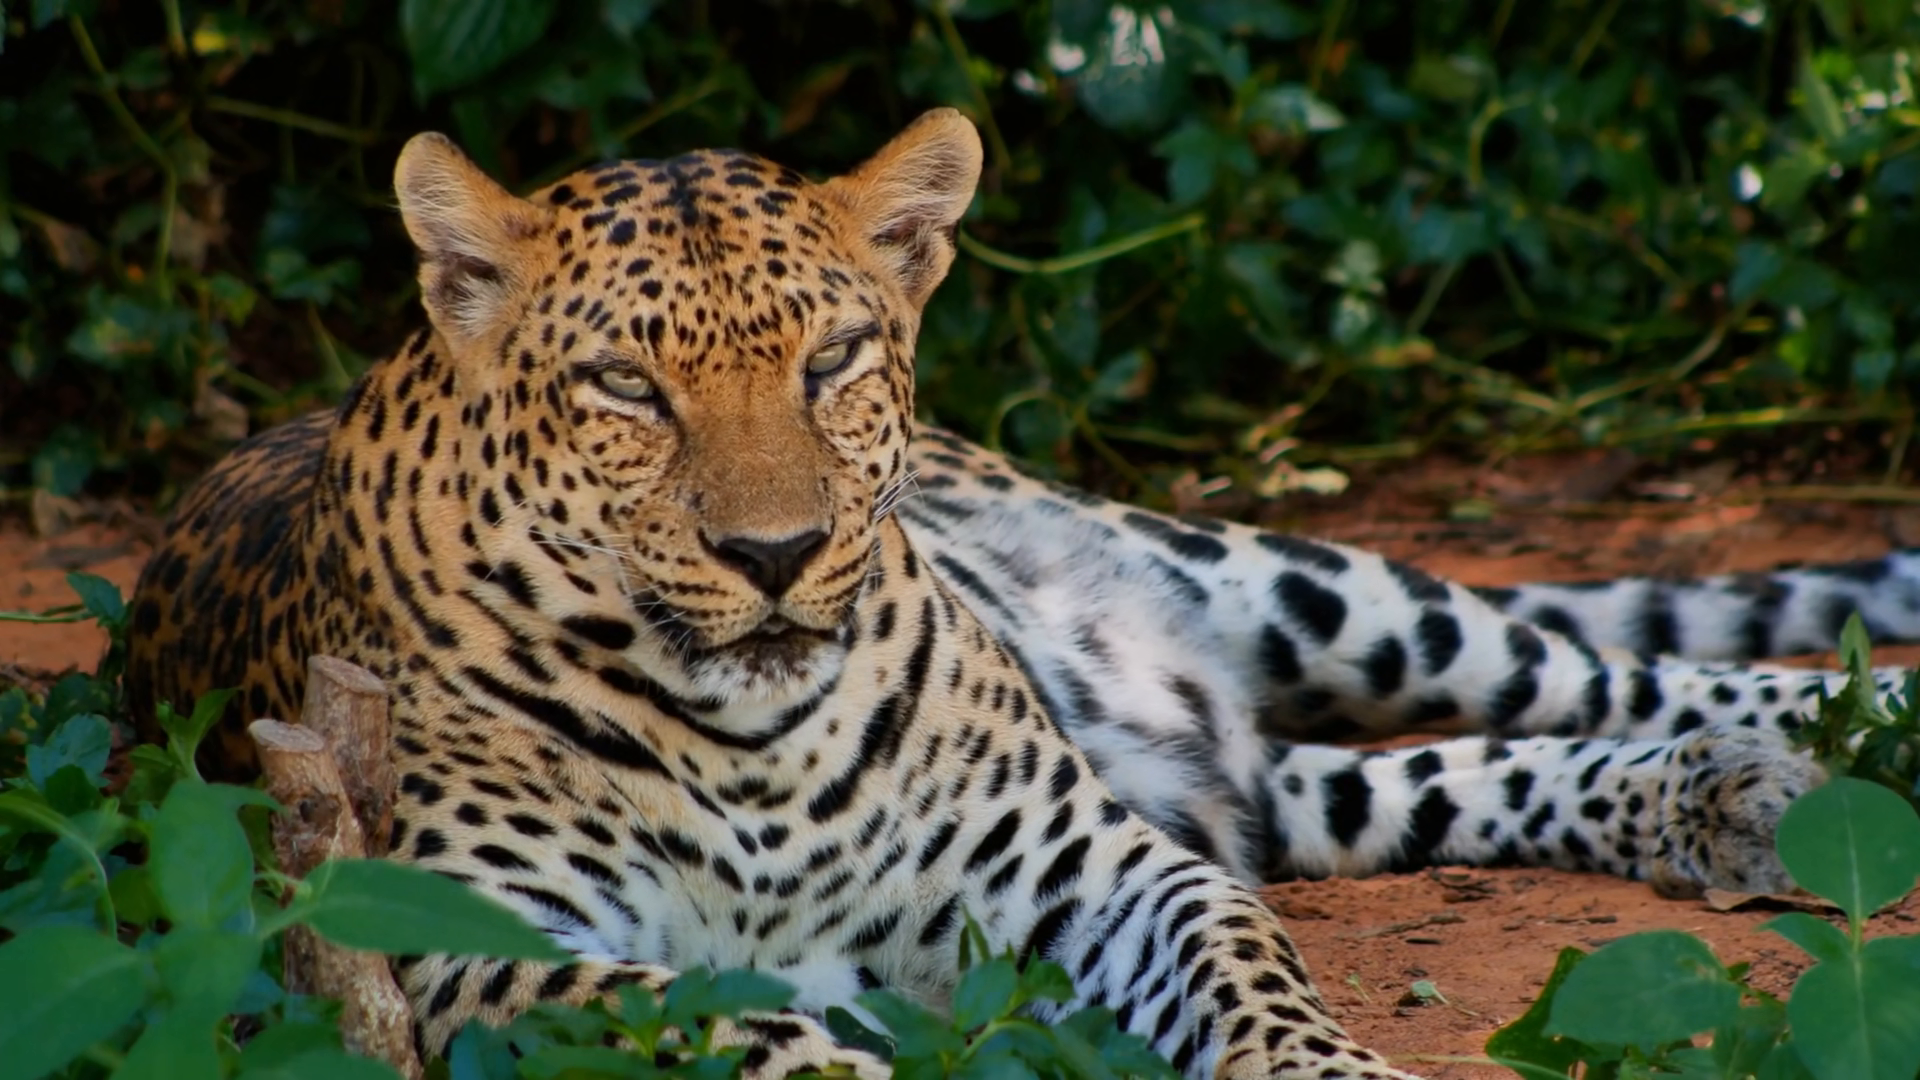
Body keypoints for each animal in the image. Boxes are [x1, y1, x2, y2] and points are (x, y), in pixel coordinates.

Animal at [122, 108, 1919, 1079]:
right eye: (627, 386)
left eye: (835, 361)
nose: (775, 557)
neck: (749, 747)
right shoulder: (458, 944)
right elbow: (726, 1021)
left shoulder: (1100, 862)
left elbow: (1248, 969)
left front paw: (1325, 1056)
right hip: (1236, 767)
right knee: (1416, 780)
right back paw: (1734, 800)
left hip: (1290, 587)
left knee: (1589, 666)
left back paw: (1820, 732)